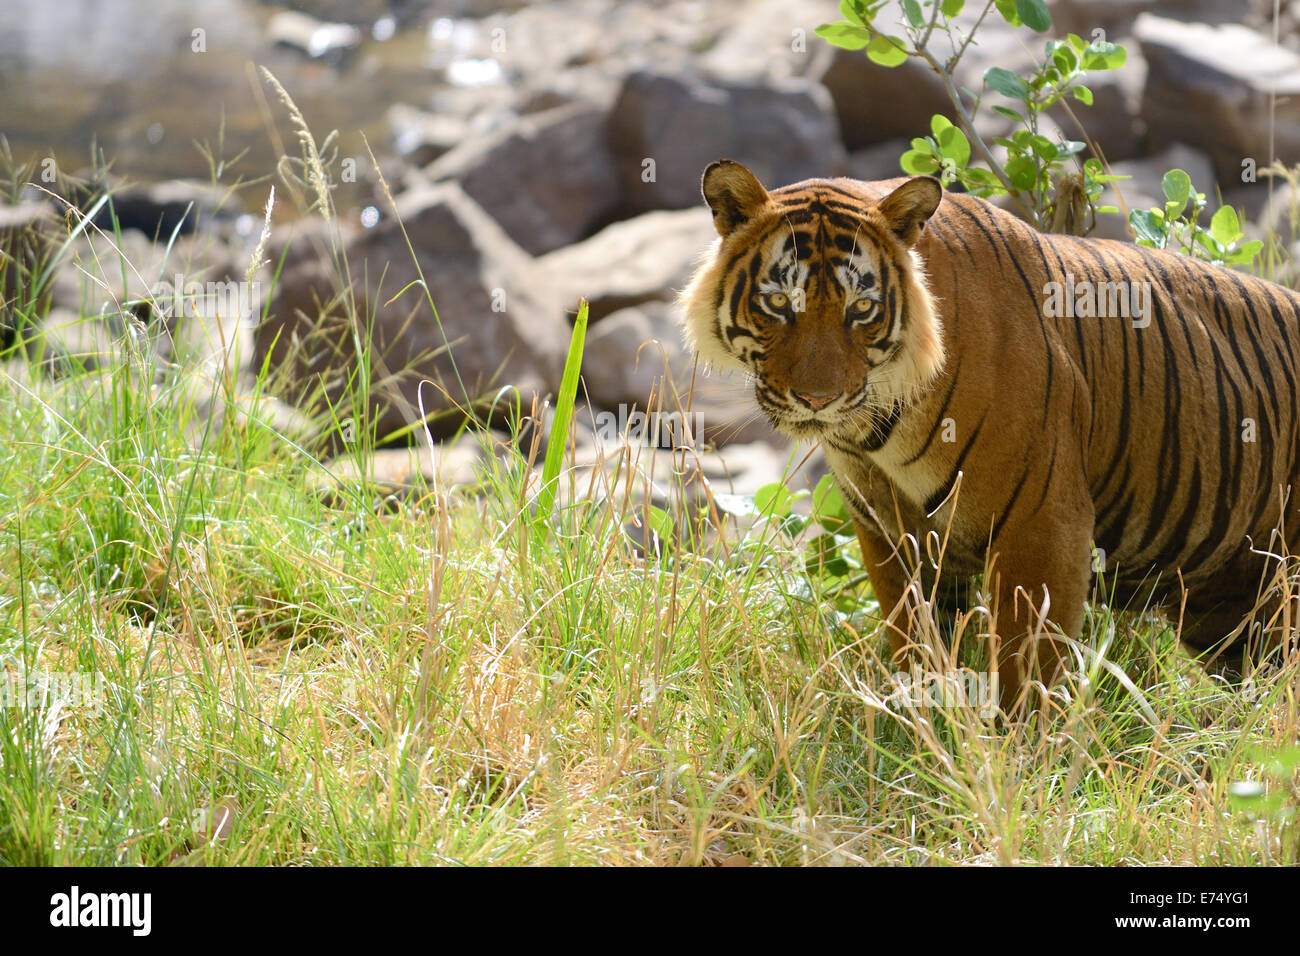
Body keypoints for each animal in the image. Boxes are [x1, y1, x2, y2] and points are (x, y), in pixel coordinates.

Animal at [680, 159, 1300, 713]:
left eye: (862, 309)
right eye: (778, 303)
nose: (817, 399)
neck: (873, 429)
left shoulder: (1042, 525)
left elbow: (1027, 664)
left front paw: (1020, 752)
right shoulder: (891, 533)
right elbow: (915, 644)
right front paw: (919, 729)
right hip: (1230, 609)